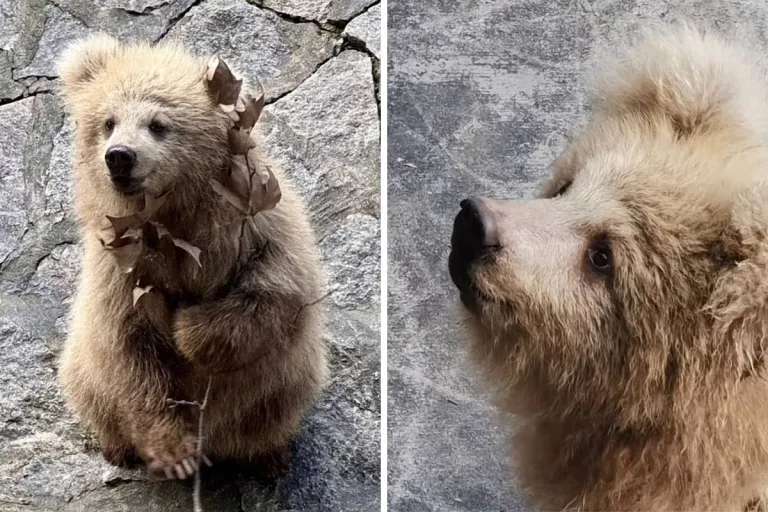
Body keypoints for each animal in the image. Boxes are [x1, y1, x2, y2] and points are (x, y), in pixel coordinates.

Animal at [57, 34, 327, 480]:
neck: (170, 220)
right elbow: (129, 348)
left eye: (157, 124)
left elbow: (271, 294)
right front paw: (175, 453)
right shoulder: (117, 267)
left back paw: (270, 456)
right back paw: (118, 448)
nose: (119, 156)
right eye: (108, 121)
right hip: (85, 372)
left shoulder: (257, 226)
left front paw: (187, 329)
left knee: (277, 403)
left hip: (287, 378)